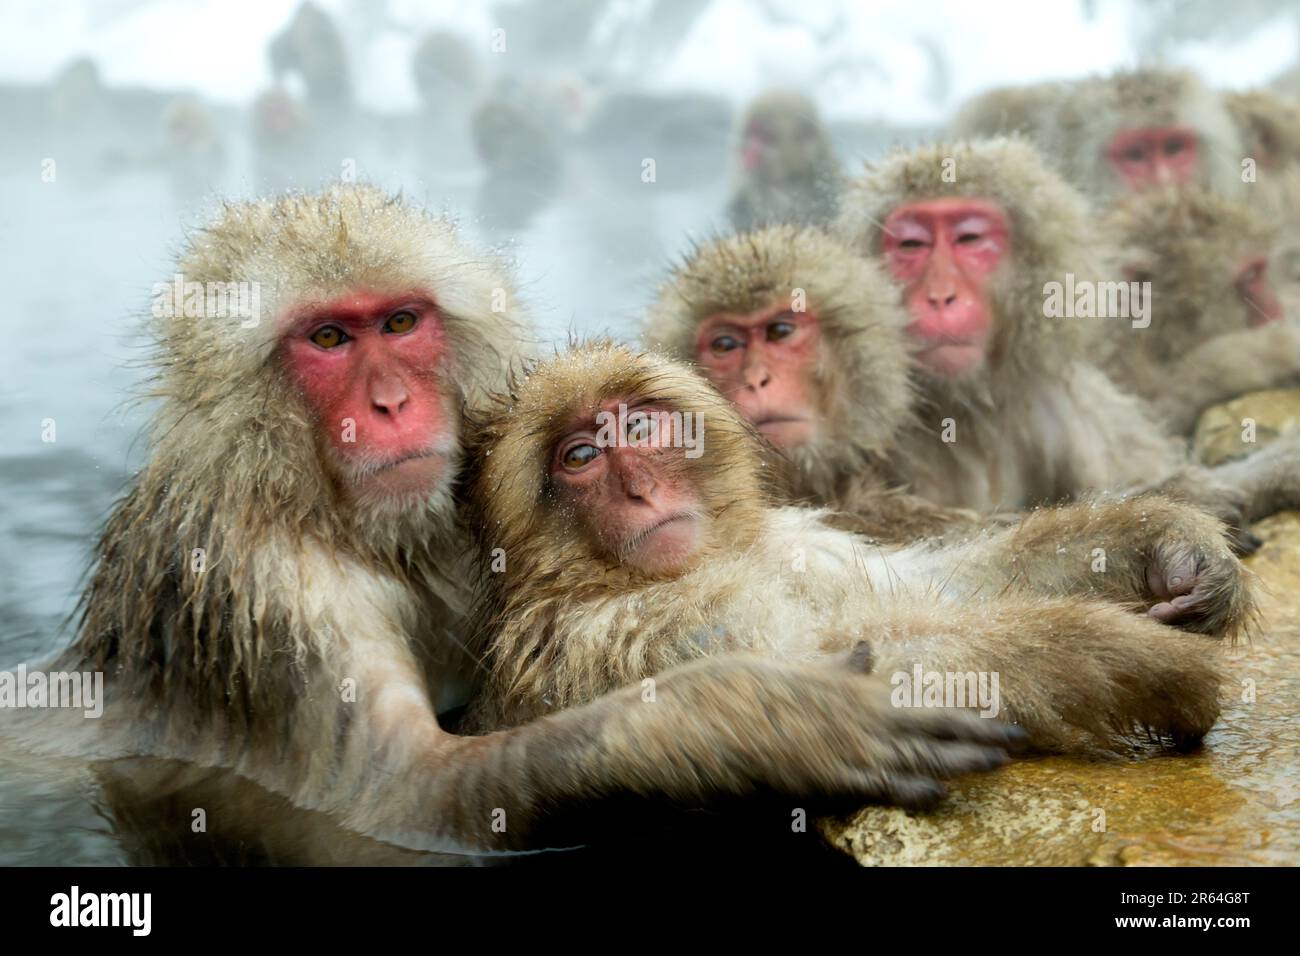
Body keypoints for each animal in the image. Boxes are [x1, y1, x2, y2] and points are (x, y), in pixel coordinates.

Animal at [459, 342, 1243, 763]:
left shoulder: (800, 544)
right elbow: (825, 677)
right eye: (581, 457)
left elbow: (931, 585)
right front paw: (1128, 653)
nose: (640, 488)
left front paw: (1166, 543)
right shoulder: (618, 633)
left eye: (641, 428)